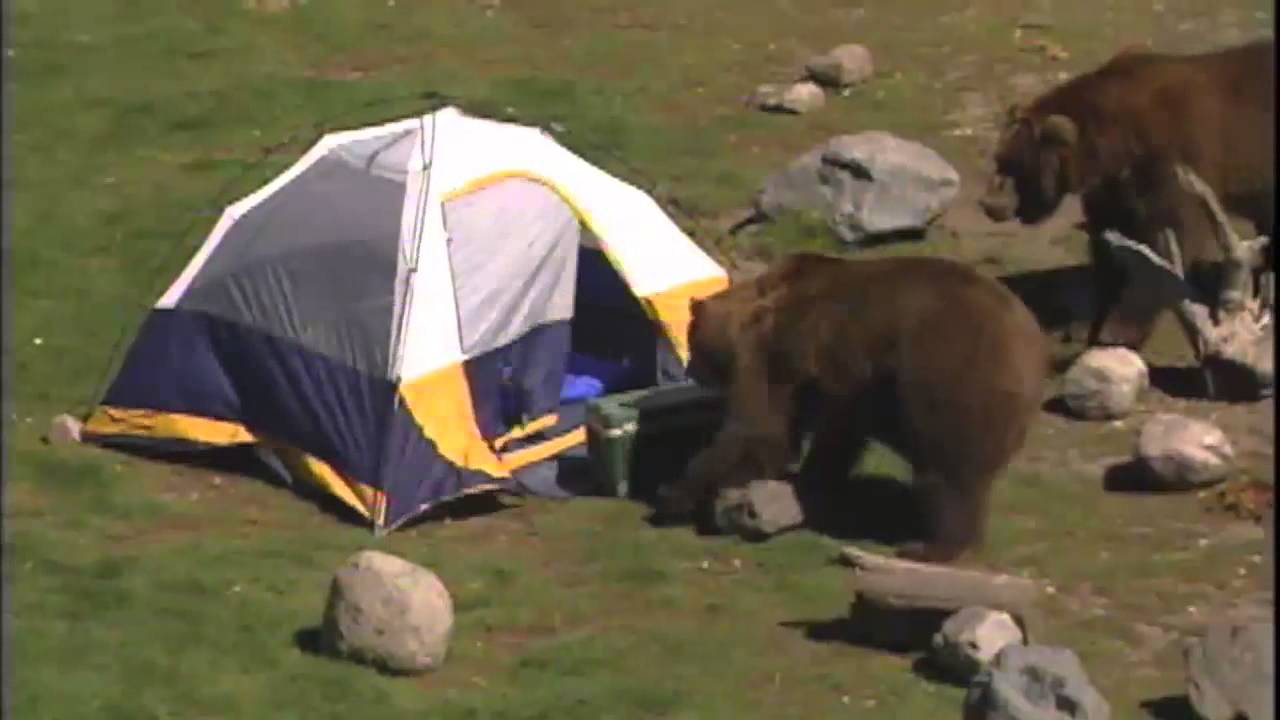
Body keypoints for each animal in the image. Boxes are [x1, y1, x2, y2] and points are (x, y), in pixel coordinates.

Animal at [655, 252, 1050, 564]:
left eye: (690, 337)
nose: (690, 371)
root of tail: (1030, 340)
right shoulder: (841, 385)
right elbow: (824, 439)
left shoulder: (777, 349)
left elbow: (758, 430)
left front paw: (673, 496)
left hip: (950, 374)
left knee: (947, 472)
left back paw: (929, 547)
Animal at [978, 38, 1275, 350]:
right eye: (999, 159)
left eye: (1019, 166)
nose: (990, 203)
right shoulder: (1113, 190)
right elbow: (1108, 247)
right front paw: (1087, 323)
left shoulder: (1176, 167)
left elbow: (1170, 243)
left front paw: (1119, 330)